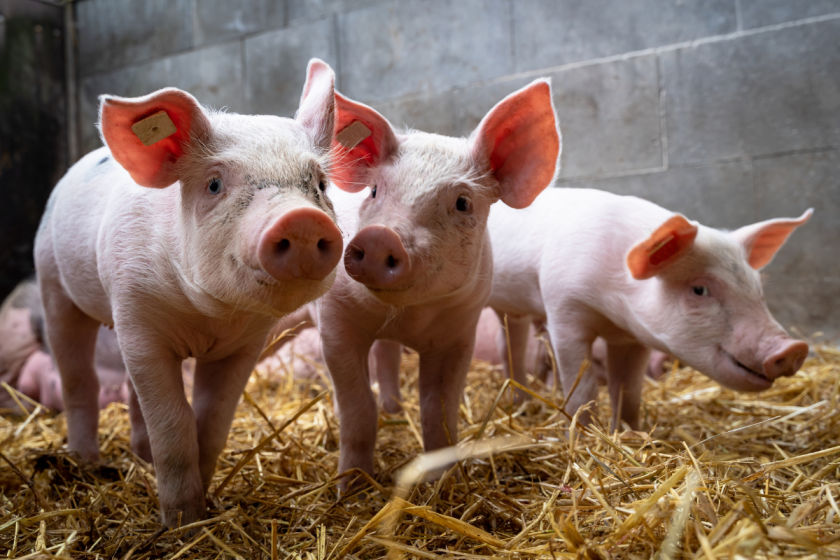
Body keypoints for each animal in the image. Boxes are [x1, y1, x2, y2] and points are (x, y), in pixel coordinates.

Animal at [34, 60, 342, 526]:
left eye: (320, 184)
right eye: (214, 184)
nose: (302, 219)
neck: (208, 316)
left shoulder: (244, 344)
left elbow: (212, 421)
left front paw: (204, 511)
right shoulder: (139, 320)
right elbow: (174, 422)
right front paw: (182, 523)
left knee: (128, 388)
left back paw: (140, 456)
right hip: (54, 283)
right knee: (78, 377)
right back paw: (86, 460)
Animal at [317, 79, 561, 481]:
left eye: (462, 203)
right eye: (375, 190)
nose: (381, 235)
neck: (407, 317)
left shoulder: (460, 331)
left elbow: (439, 410)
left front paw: (440, 479)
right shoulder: (336, 321)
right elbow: (357, 409)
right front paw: (350, 484)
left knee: (387, 356)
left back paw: (396, 410)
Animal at [488, 188, 811, 429]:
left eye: (757, 285)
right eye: (700, 289)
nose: (794, 348)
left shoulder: (632, 339)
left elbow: (628, 392)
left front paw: (629, 433)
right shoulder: (563, 311)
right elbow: (582, 390)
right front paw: (586, 436)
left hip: (512, 310)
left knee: (510, 345)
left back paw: (521, 403)